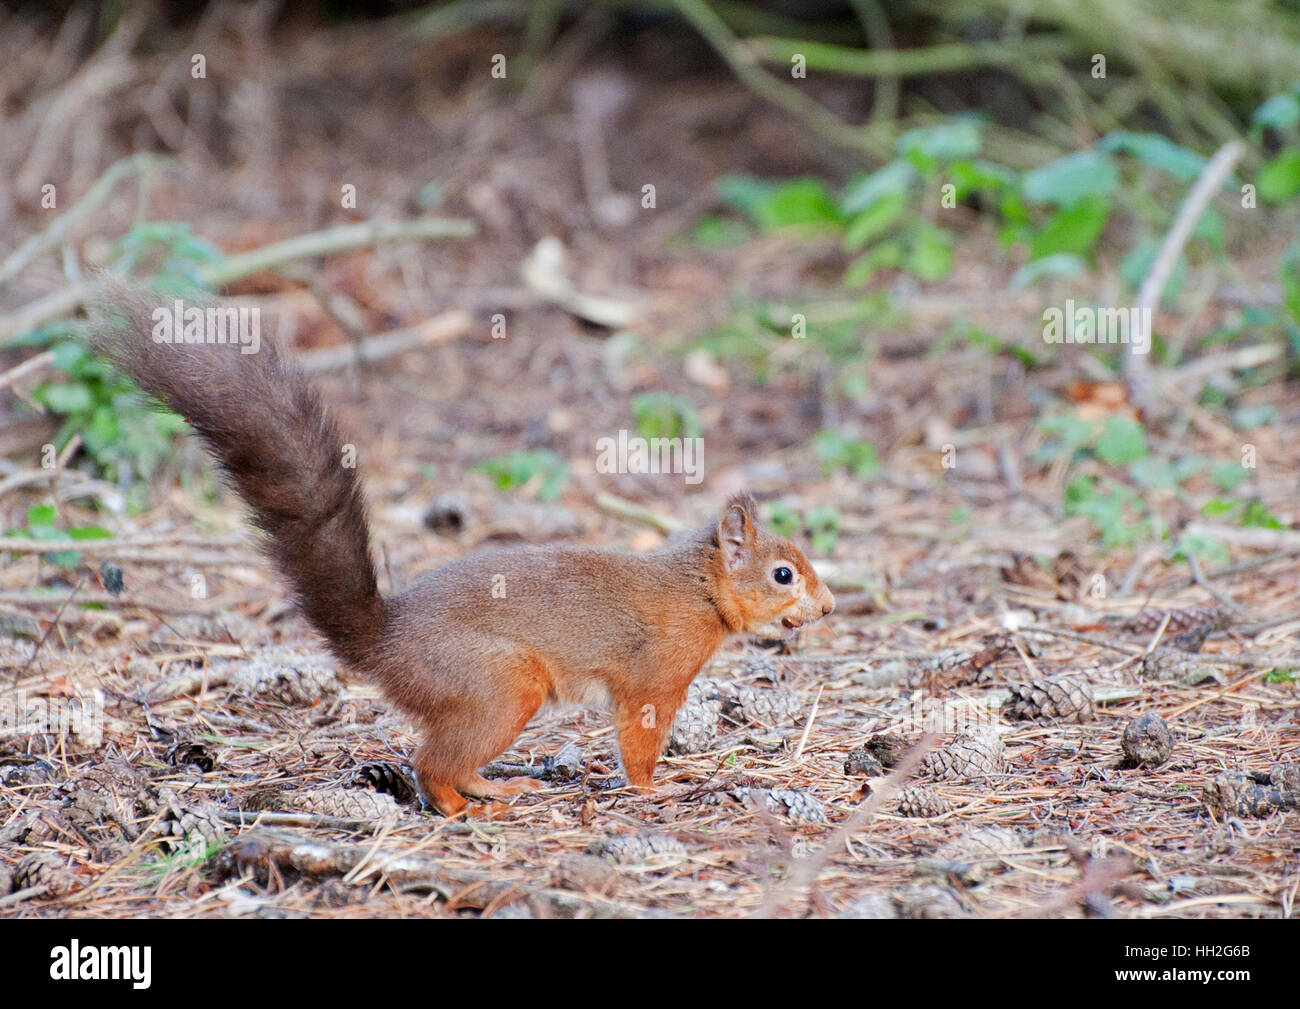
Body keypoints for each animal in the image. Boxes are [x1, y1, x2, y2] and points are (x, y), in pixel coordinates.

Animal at [92, 289, 834, 815]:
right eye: (783, 574)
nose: (828, 608)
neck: (699, 589)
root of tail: (385, 642)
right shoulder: (652, 680)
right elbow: (639, 743)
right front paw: (658, 788)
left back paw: (498, 788)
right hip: (500, 684)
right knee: (432, 765)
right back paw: (462, 806)